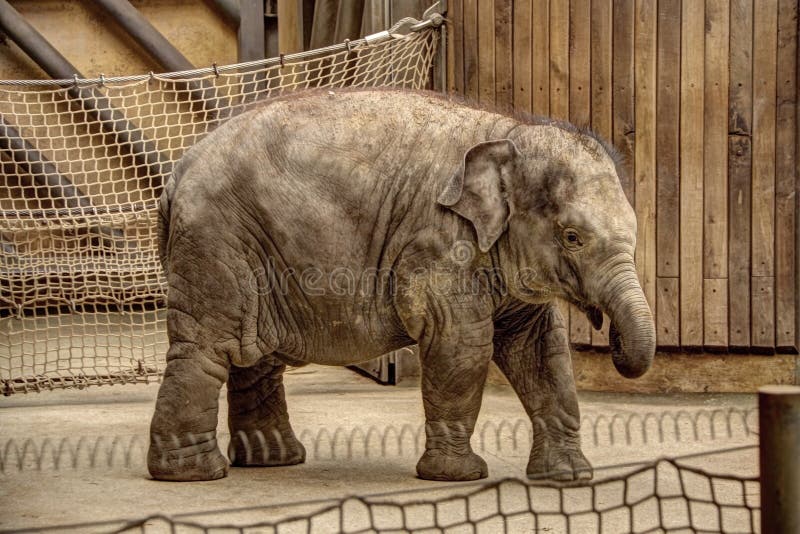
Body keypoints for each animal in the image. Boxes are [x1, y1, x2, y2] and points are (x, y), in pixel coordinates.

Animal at [147, 89, 655, 483]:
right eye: (572, 237)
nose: (610, 335)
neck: (511, 130)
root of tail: (177, 172)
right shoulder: (438, 244)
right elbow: (463, 345)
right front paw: (458, 476)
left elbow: (542, 350)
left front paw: (570, 478)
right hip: (217, 242)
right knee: (209, 349)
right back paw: (195, 474)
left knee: (257, 356)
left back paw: (272, 461)